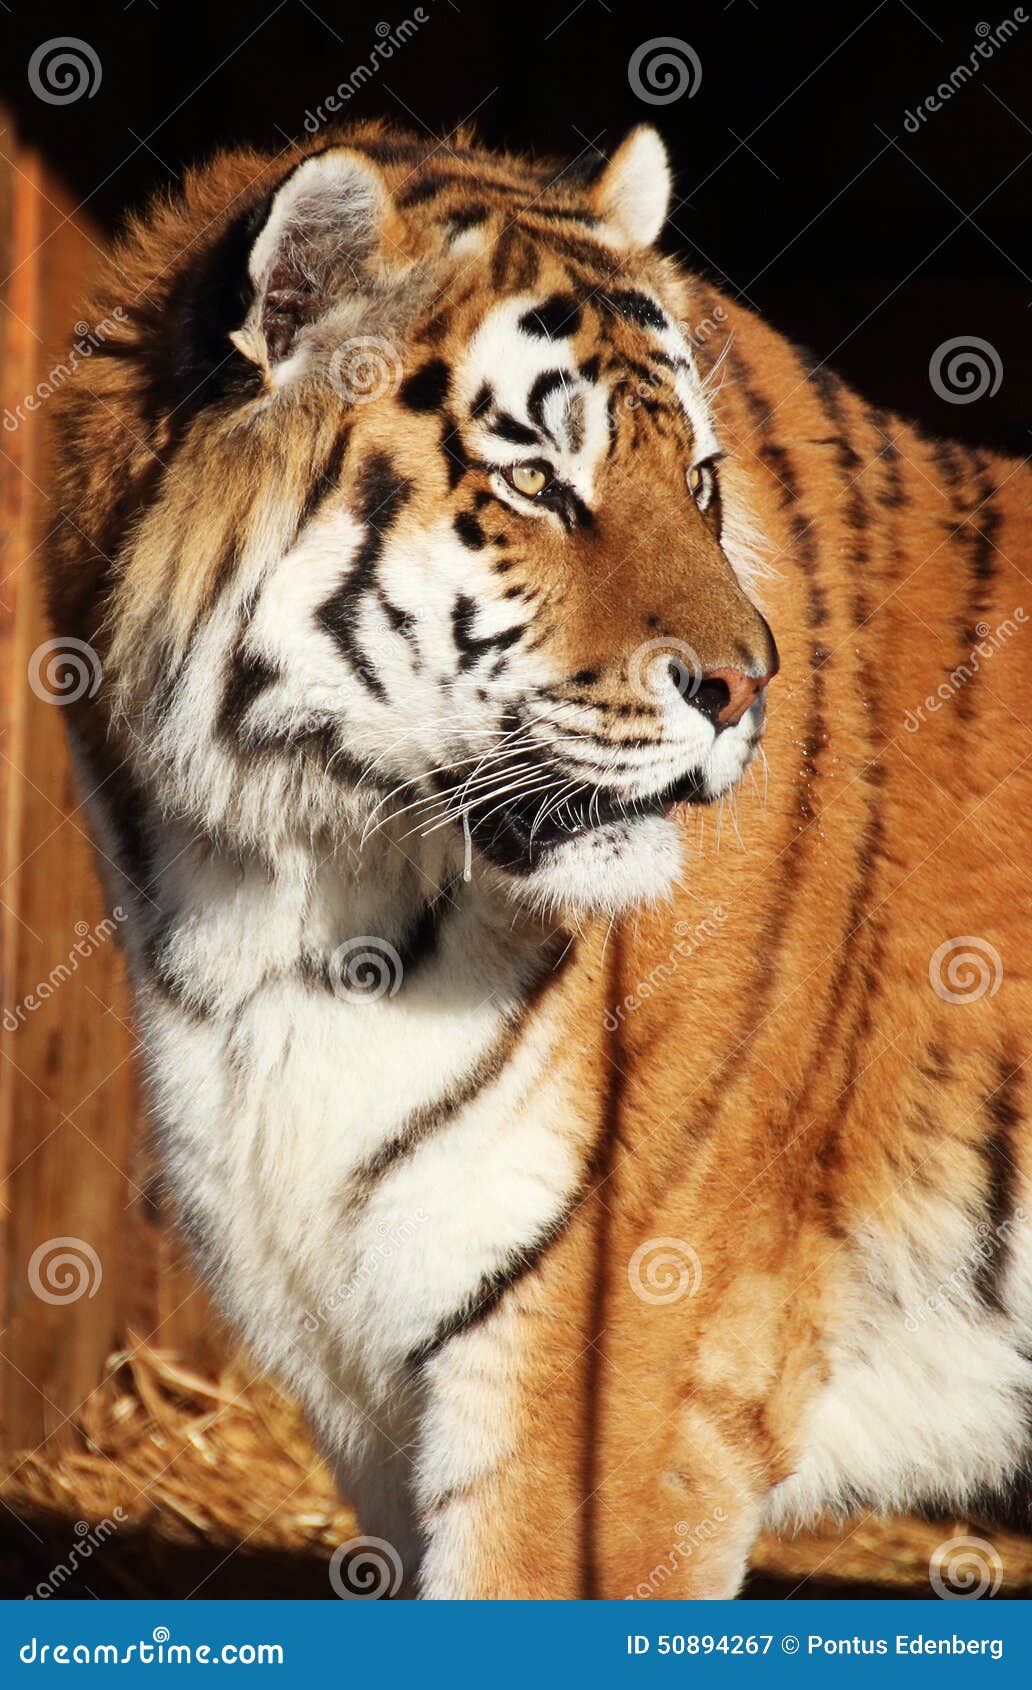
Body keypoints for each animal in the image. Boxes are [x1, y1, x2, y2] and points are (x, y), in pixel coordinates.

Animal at [46, 118, 1032, 1600]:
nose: (746, 687)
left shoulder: (604, 1399)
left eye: (697, 479)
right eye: (534, 482)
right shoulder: (374, 1397)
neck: (275, 903)